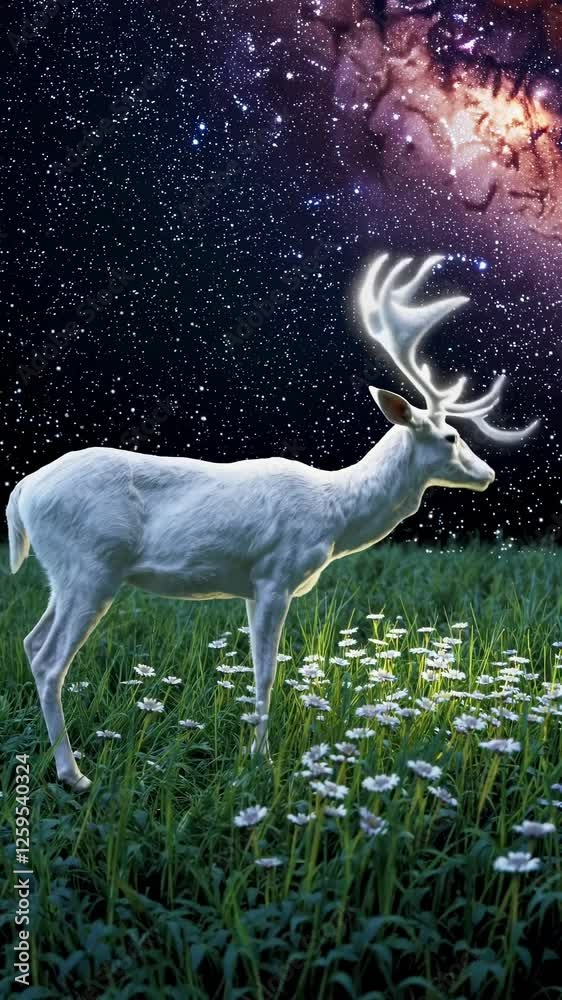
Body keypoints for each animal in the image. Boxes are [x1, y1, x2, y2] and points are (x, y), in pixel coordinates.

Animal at [6, 253, 538, 791]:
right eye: (451, 436)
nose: (488, 474)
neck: (335, 513)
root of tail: (23, 490)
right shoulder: (275, 575)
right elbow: (266, 672)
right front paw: (258, 762)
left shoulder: (251, 585)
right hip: (92, 564)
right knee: (50, 661)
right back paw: (74, 775)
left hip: (65, 574)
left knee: (30, 642)